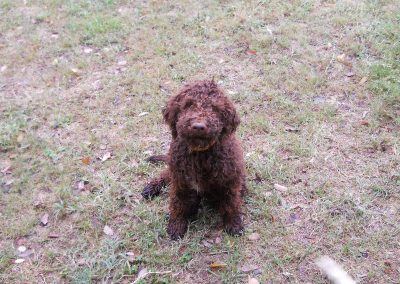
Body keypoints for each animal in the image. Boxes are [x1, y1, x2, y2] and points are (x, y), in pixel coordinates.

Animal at [142, 80, 245, 240]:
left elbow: (231, 202)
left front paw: (233, 223)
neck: (200, 154)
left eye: (214, 108)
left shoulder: (229, 180)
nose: (198, 126)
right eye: (188, 104)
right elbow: (178, 203)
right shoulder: (180, 180)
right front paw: (177, 225)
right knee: (166, 174)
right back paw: (151, 187)